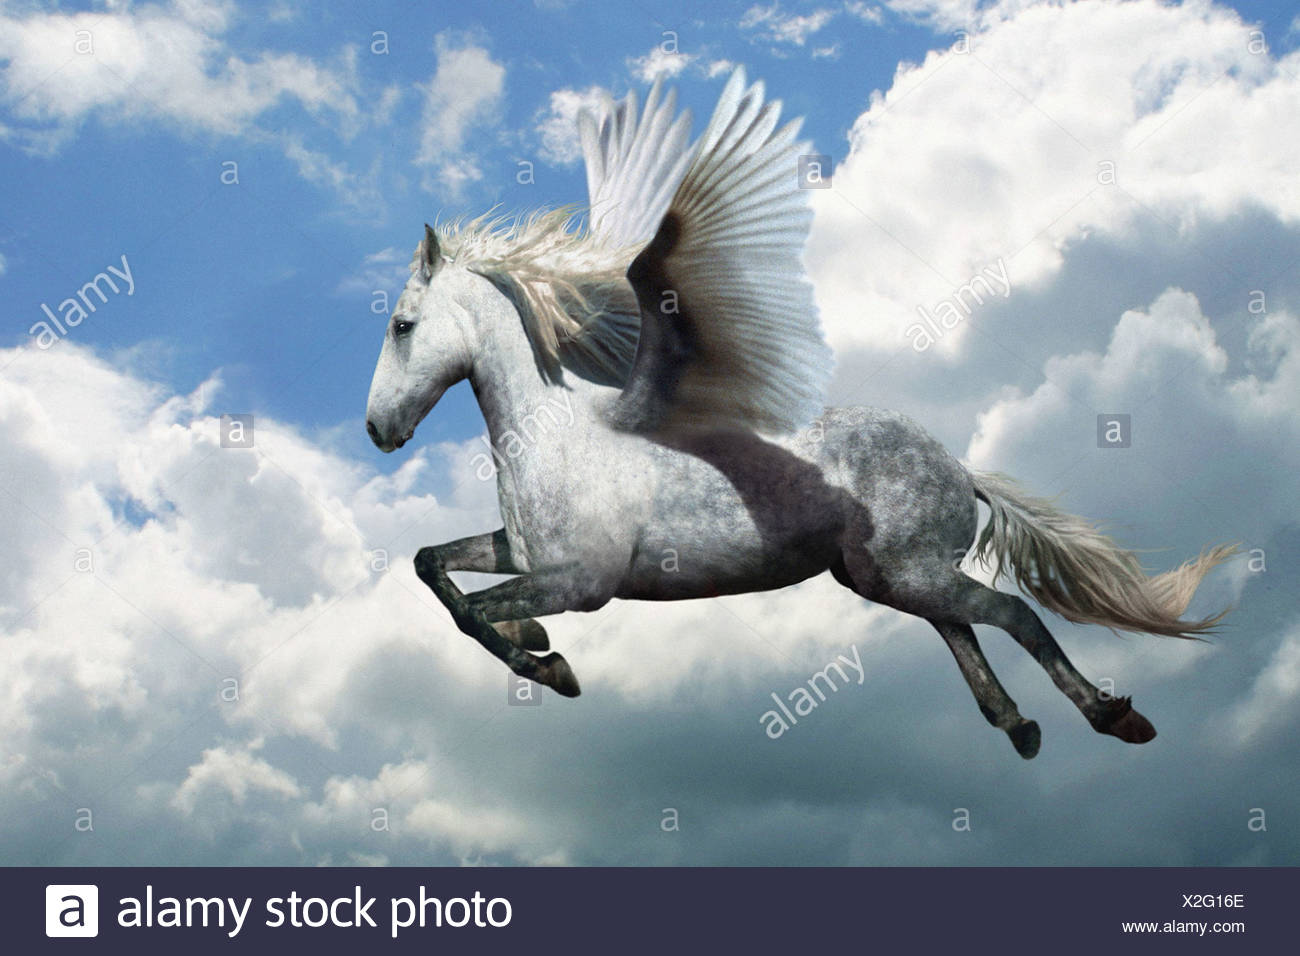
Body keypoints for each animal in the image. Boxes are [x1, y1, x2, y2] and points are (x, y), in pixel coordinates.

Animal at [364, 70, 1235, 758]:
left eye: (402, 325)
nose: (378, 430)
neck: (551, 443)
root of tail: (961, 469)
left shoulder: (580, 581)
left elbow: (474, 612)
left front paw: (550, 664)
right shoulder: (523, 555)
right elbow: (434, 567)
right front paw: (540, 649)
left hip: (909, 571)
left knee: (1013, 614)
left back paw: (1112, 718)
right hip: (885, 575)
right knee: (961, 625)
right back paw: (1019, 727)